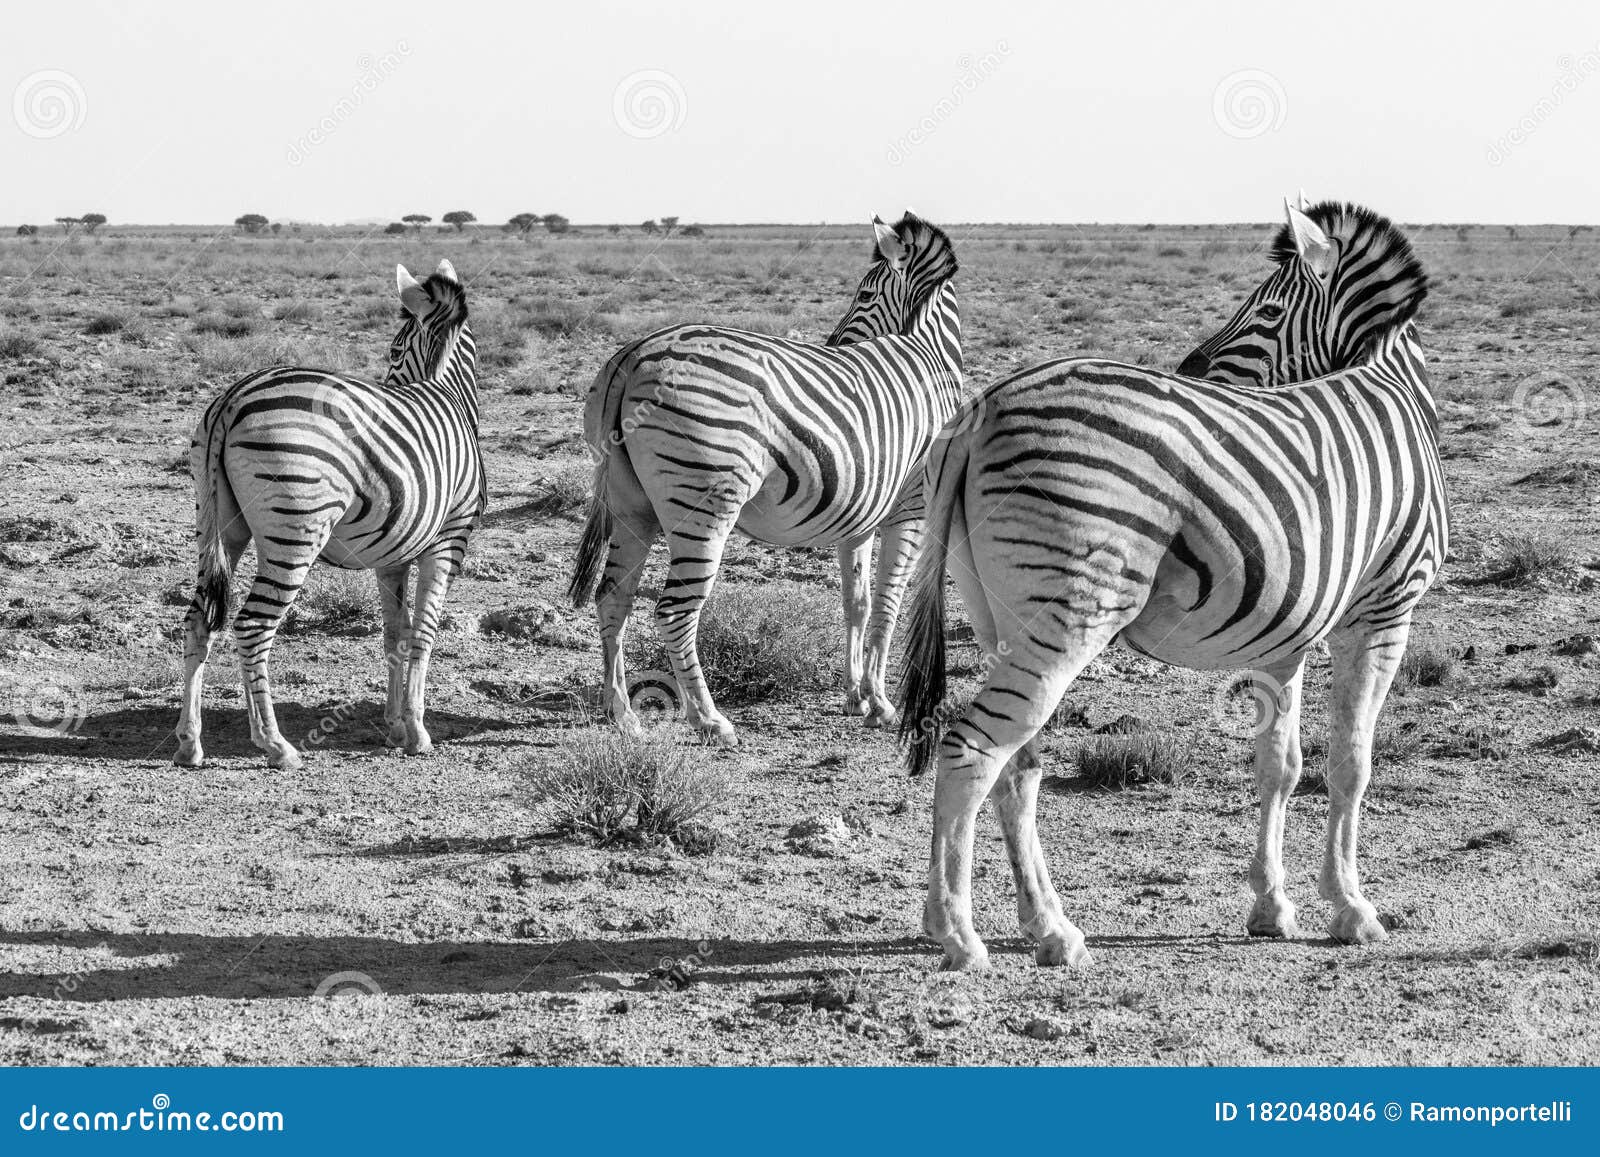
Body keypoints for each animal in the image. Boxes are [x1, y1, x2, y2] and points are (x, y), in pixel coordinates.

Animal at [174, 260, 484, 771]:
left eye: (394, 349)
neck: (447, 393)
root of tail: (233, 397)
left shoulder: (392, 556)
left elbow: (395, 635)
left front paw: (394, 726)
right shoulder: (448, 542)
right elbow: (423, 634)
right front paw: (417, 731)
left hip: (217, 524)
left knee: (200, 621)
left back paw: (189, 742)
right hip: (296, 530)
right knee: (252, 627)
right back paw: (275, 745)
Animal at [569, 212, 963, 746]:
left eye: (862, 294)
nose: (835, 346)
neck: (926, 353)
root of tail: (631, 356)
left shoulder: (861, 513)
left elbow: (857, 602)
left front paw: (855, 696)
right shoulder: (912, 504)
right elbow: (887, 603)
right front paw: (882, 703)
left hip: (631, 507)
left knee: (613, 598)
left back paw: (621, 712)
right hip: (706, 502)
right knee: (673, 612)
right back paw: (710, 720)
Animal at [897, 200, 1444, 971]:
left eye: (1268, 307)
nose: (1191, 367)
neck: (1385, 390)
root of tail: (981, 409)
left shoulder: (1288, 634)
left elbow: (1280, 764)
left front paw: (1272, 906)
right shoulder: (1385, 611)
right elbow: (1350, 763)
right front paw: (1352, 908)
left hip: (999, 614)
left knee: (1018, 764)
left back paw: (1050, 928)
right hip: (1072, 613)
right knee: (972, 751)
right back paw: (958, 935)